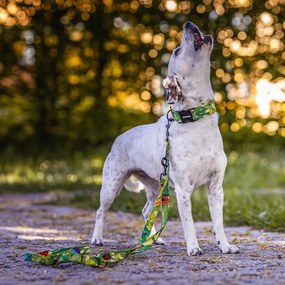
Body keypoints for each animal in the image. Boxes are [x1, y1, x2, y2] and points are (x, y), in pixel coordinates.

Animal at [91, 20, 237, 255]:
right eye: (177, 50)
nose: (188, 23)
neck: (195, 119)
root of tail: (119, 138)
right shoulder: (184, 190)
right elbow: (189, 223)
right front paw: (193, 247)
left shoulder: (216, 188)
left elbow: (218, 222)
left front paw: (224, 245)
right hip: (111, 185)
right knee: (100, 211)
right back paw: (97, 238)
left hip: (156, 188)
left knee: (145, 211)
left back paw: (153, 239)